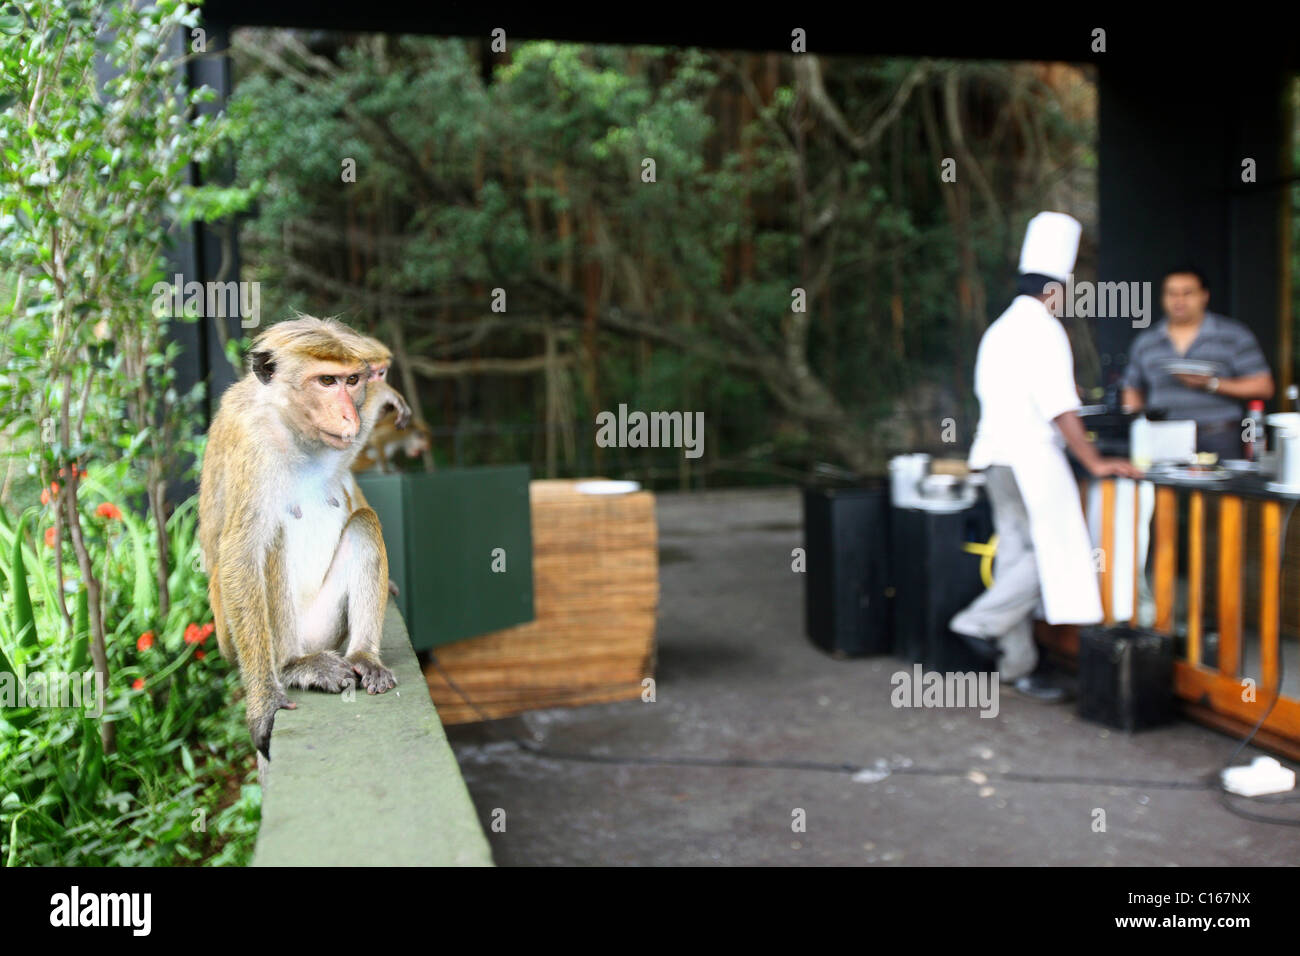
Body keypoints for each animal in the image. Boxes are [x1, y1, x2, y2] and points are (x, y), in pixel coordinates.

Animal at [198, 316, 405, 759]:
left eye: (351, 380)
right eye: (326, 381)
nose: (348, 416)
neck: (292, 430)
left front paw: (380, 398)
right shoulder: (252, 443)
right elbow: (241, 554)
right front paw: (263, 701)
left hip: (328, 626)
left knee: (364, 520)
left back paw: (363, 655)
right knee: (271, 538)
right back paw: (293, 666)